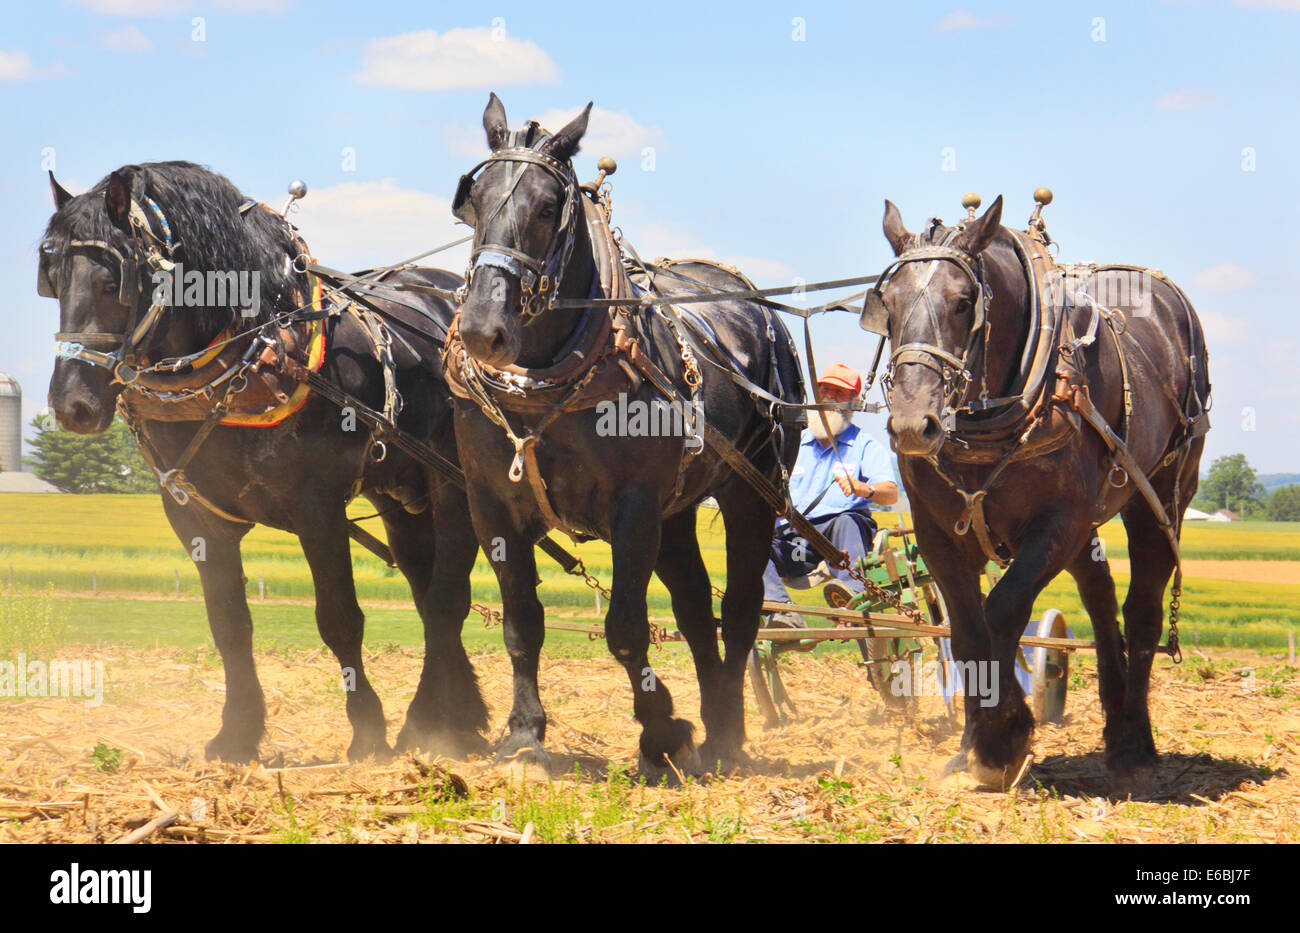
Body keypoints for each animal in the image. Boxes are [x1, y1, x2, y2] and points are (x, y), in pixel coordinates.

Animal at [40, 161, 487, 762]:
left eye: (114, 282)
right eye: (52, 277)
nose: (74, 406)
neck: (255, 356)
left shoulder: (318, 508)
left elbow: (339, 619)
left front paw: (367, 732)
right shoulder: (196, 518)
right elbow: (229, 624)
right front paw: (237, 734)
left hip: (453, 486)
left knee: (446, 596)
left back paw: (425, 722)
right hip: (399, 494)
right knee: (426, 589)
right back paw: (455, 717)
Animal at [444, 94, 805, 776]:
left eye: (548, 207)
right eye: (472, 199)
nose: (482, 330)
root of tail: (753, 304)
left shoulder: (633, 507)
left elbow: (626, 628)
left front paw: (660, 732)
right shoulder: (490, 504)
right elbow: (521, 621)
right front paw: (524, 733)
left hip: (752, 490)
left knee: (740, 610)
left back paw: (727, 734)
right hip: (678, 509)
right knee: (695, 608)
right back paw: (714, 722)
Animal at [871, 194, 1210, 787]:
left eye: (963, 303)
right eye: (887, 301)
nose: (914, 425)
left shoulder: (1058, 521)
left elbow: (1003, 609)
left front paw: (1004, 738)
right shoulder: (938, 534)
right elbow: (966, 630)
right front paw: (972, 746)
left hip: (1160, 496)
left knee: (1142, 608)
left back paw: (1134, 742)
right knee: (1100, 595)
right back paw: (1114, 718)